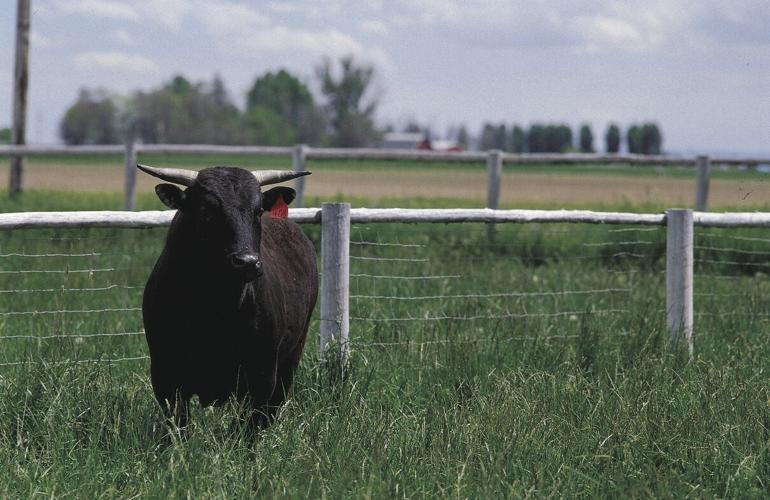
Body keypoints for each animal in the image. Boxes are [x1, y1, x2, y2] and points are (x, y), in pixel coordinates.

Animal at [138, 164, 318, 428]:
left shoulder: (263, 374)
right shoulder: (165, 374)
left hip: (291, 359)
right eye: (206, 210)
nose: (247, 262)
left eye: (258, 211)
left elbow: (248, 428)